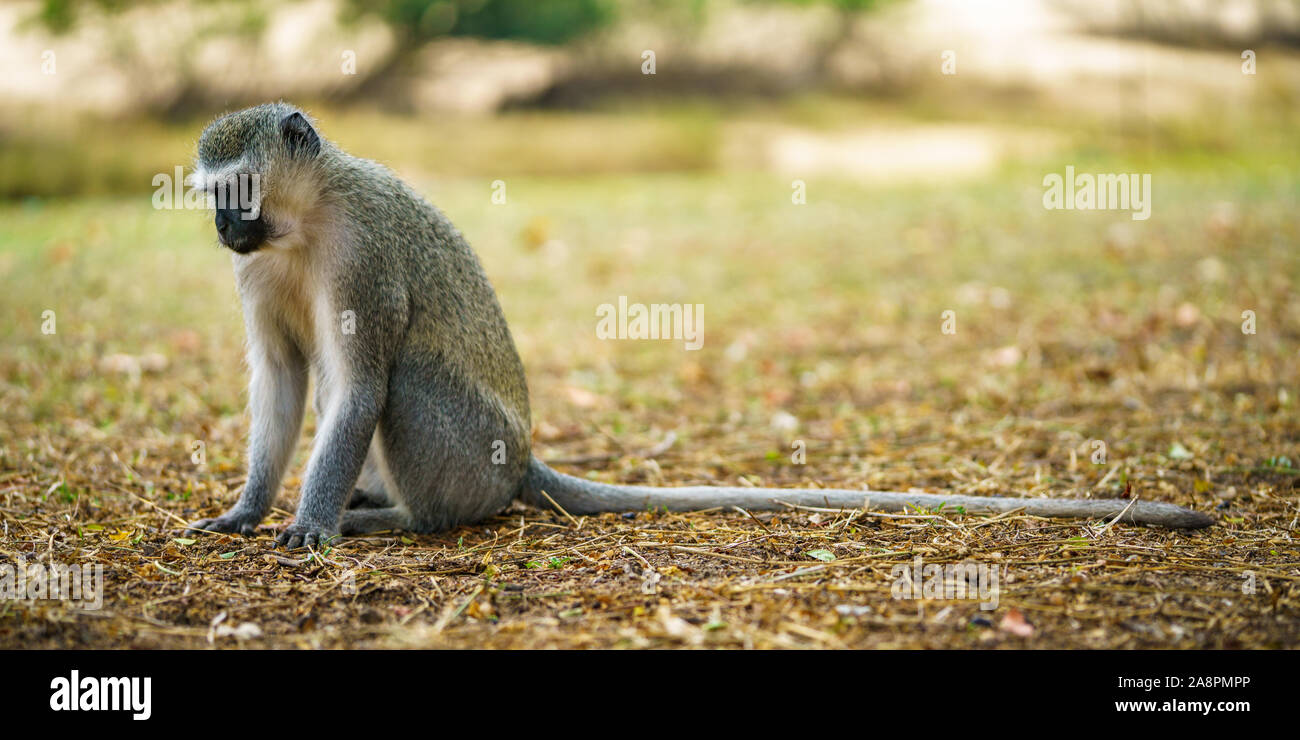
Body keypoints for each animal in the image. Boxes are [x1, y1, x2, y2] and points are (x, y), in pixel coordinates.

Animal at [183, 103, 1212, 548]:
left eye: (239, 189)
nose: (224, 231)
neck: (304, 219)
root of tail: (523, 459)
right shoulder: (256, 270)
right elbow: (282, 381)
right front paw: (246, 511)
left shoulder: (364, 251)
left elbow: (360, 386)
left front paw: (308, 528)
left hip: (473, 450)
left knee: (407, 393)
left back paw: (403, 518)